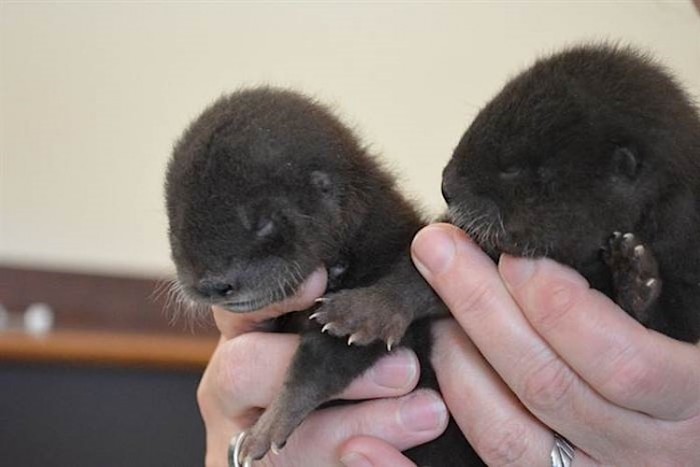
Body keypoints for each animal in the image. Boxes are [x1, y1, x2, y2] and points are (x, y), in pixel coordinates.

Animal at [165, 88, 481, 466]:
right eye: (176, 226)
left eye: (263, 223)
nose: (212, 285)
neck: (349, 247)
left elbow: (326, 358)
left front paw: (273, 420)